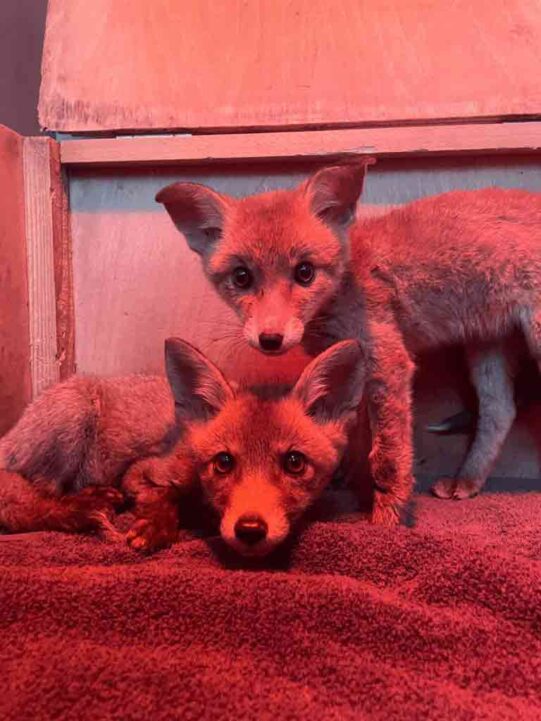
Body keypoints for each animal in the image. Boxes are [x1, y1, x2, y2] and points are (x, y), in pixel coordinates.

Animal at [0, 338, 365, 557]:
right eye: (223, 462)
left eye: (294, 462)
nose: (250, 530)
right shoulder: (141, 472)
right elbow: (165, 496)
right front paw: (155, 527)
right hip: (73, 414)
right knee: (22, 505)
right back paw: (82, 509)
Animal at [156, 163, 541, 522]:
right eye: (241, 277)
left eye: (305, 272)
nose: (270, 339)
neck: (346, 281)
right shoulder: (358, 370)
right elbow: (355, 435)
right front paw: (349, 481)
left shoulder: (389, 362)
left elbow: (387, 457)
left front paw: (387, 520)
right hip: (486, 346)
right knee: (499, 411)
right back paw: (468, 480)